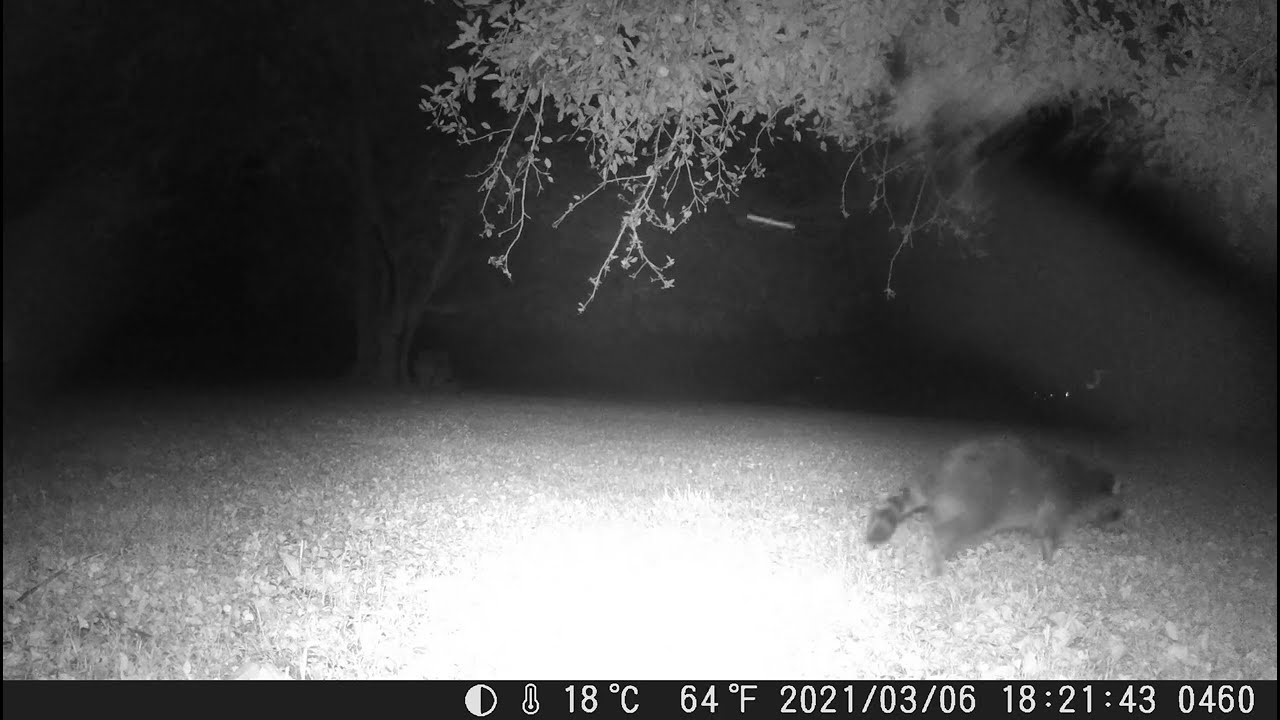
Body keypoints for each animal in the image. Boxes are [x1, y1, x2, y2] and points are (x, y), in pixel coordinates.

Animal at [865, 435, 1123, 575]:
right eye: (1118, 511)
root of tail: (939, 474)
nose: (1121, 525)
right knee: (953, 529)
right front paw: (1049, 559)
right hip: (978, 504)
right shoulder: (1058, 505)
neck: (1085, 481)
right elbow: (1050, 533)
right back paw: (941, 551)